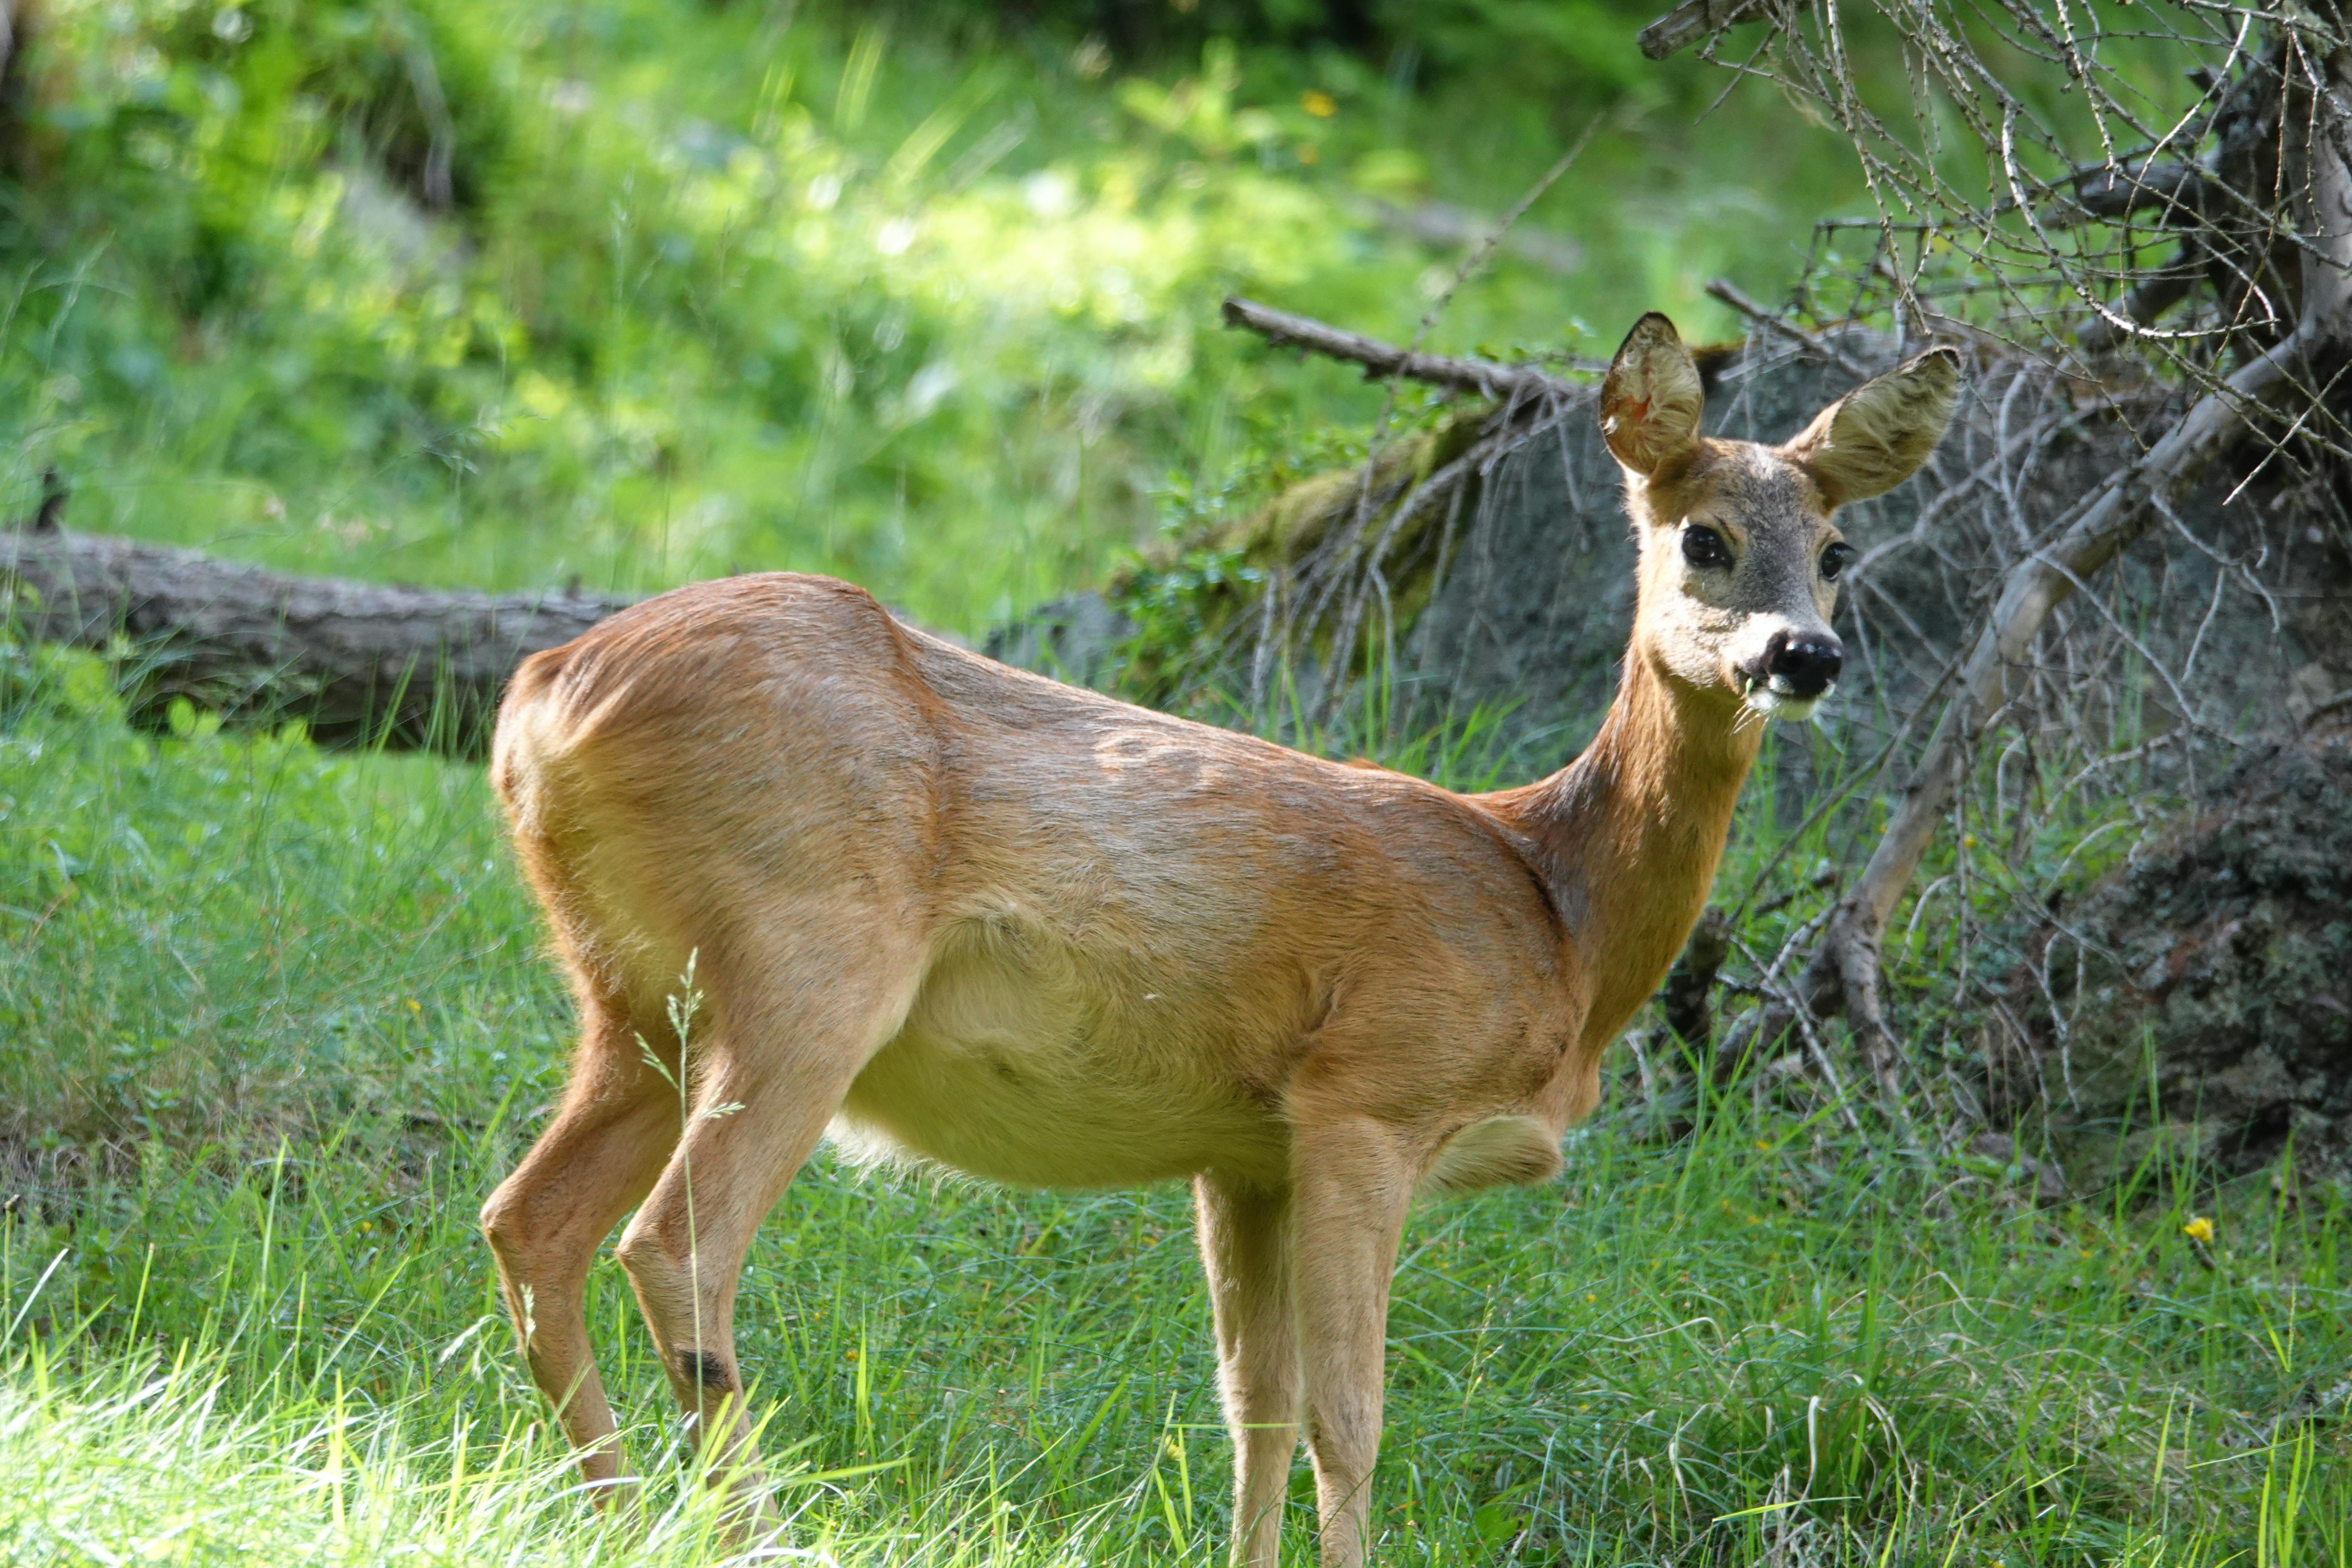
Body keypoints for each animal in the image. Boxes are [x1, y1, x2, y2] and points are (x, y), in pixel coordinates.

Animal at [477, 312, 1960, 1566]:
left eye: (1837, 552)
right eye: (1702, 537)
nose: (1804, 655)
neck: (1557, 912)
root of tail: (540, 698)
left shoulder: (1245, 1150)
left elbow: (1256, 1401)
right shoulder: (1369, 1096)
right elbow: (1351, 1417)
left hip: (630, 999)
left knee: (530, 1220)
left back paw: (616, 1519)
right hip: (805, 966)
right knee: (676, 1246)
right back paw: (750, 1534)